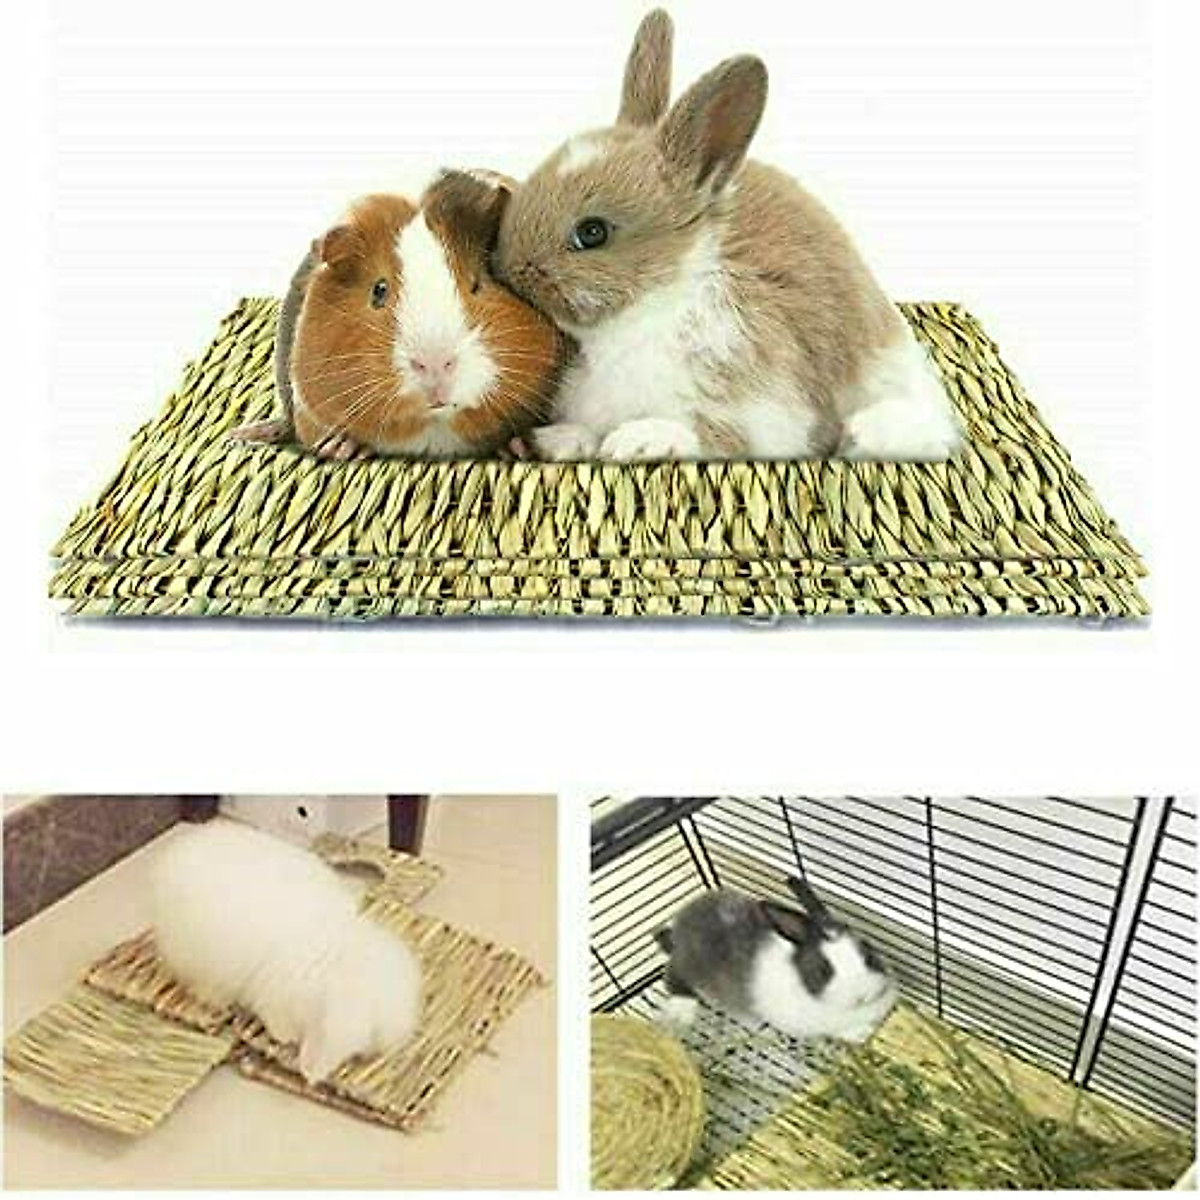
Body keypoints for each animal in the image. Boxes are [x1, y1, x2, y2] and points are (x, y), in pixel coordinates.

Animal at [494, 9, 963, 463]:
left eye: (592, 233)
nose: (506, 268)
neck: (658, 302)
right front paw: (551, 441)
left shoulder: (764, 409)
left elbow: (712, 436)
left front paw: (640, 441)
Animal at [654, 875, 897, 1043]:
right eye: (824, 970)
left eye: (867, 950)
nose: (865, 994)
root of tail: (678, 927)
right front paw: (859, 1034)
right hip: (688, 966)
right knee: (673, 975)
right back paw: (683, 1011)